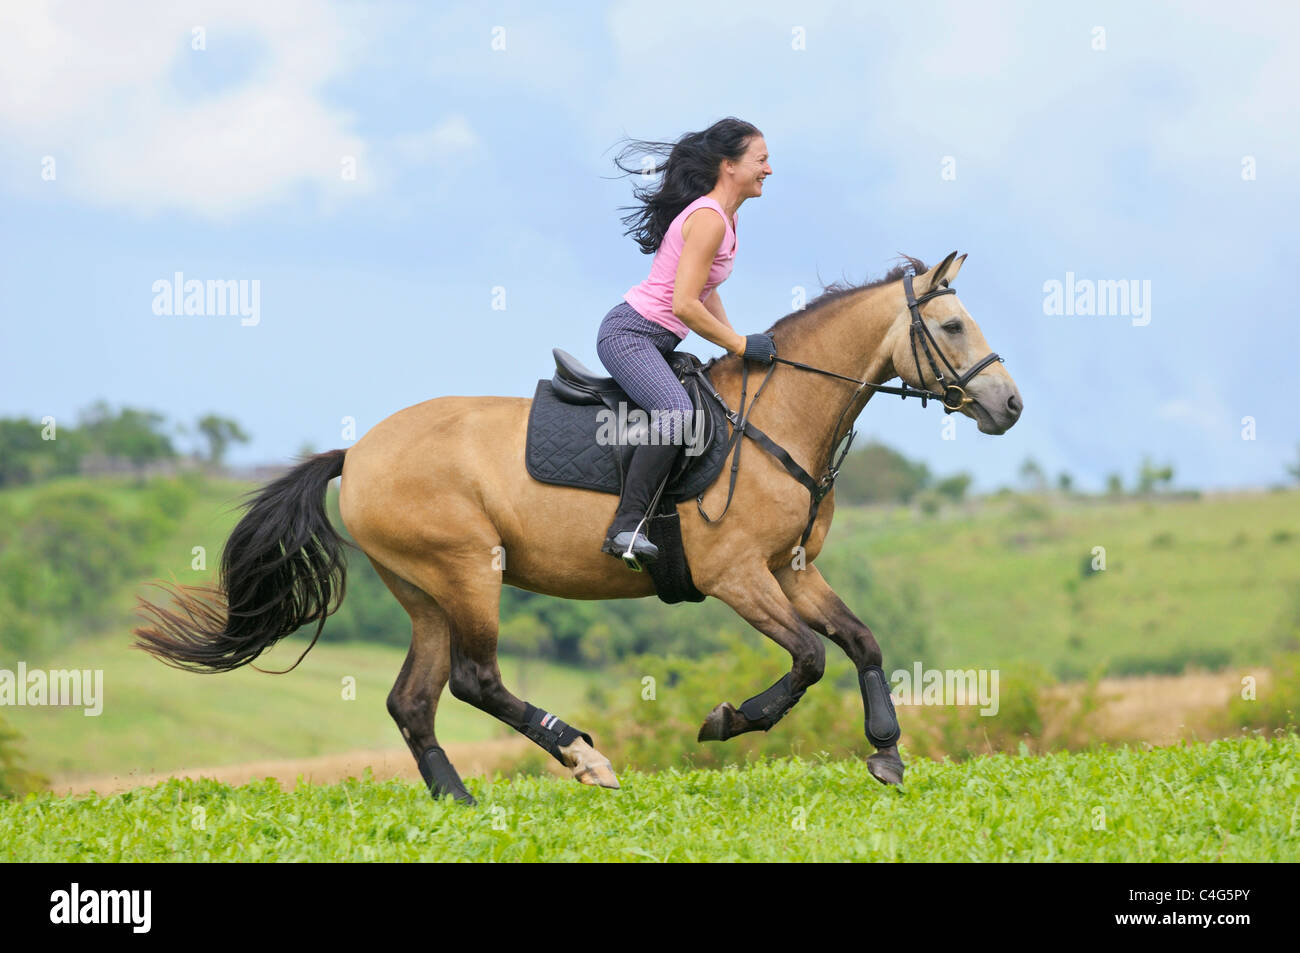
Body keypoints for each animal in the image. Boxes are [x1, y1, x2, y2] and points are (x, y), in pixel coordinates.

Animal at [135, 251, 1022, 804]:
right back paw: (584, 757)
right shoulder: (737, 575)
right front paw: (728, 720)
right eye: (951, 328)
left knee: (413, 700)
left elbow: (862, 639)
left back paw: (457, 799)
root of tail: (359, 451)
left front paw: (887, 750)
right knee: (475, 681)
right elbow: (808, 658)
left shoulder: (791, 570)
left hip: (422, 590)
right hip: (469, 570)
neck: (774, 420)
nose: (1009, 405)